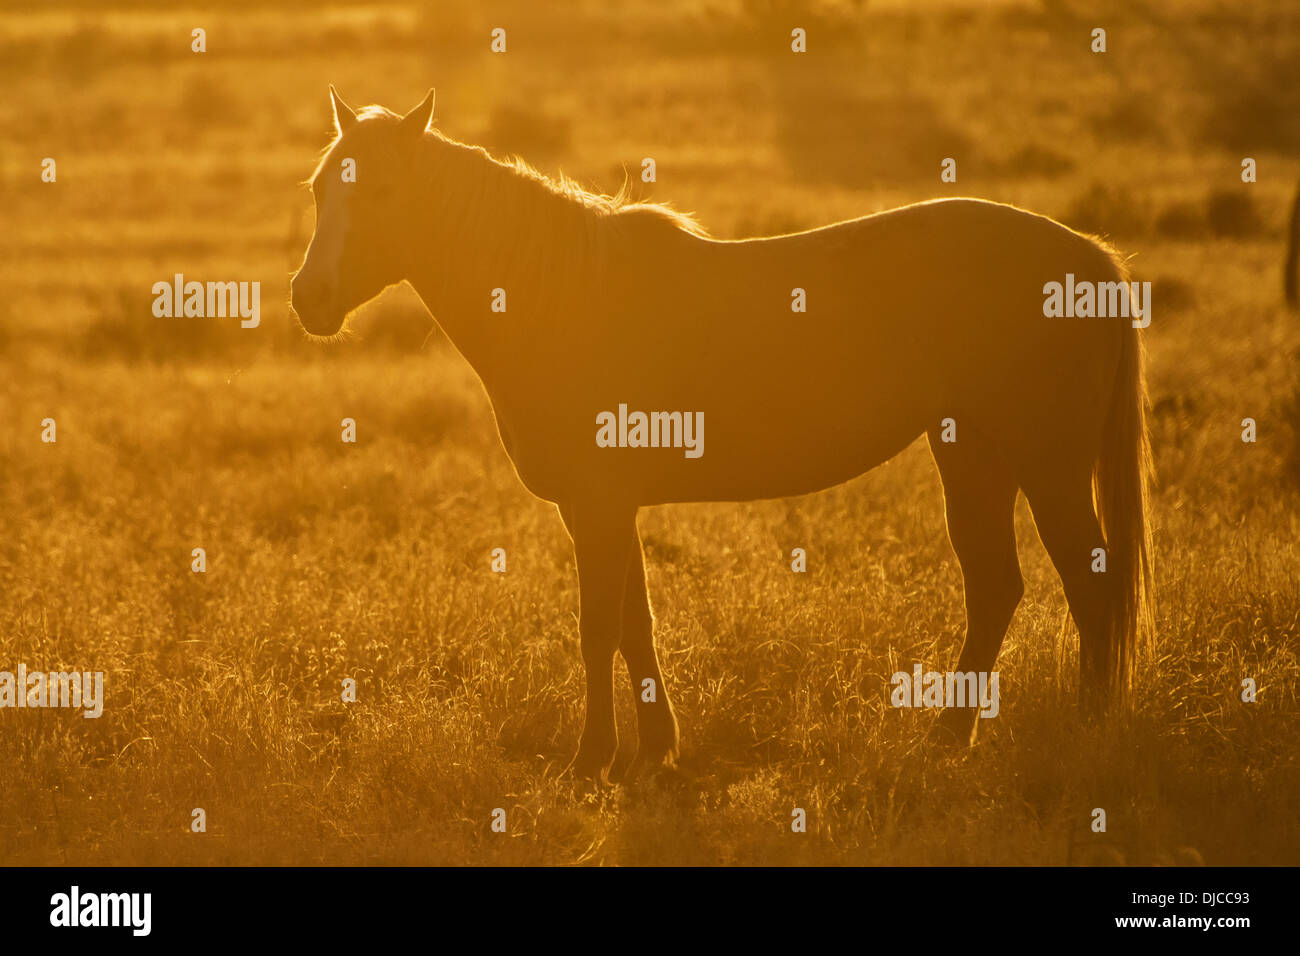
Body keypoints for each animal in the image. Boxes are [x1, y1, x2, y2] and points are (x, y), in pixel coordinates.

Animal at [291, 88, 1155, 784]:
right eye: (320, 189)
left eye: (385, 190)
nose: (309, 297)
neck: (564, 298)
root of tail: (1089, 259)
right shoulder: (608, 507)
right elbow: (634, 625)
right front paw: (655, 751)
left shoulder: (597, 507)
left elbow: (598, 630)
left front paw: (592, 760)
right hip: (971, 451)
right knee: (996, 587)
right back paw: (948, 738)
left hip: (1046, 465)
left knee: (1089, 585)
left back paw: (1087, 734)